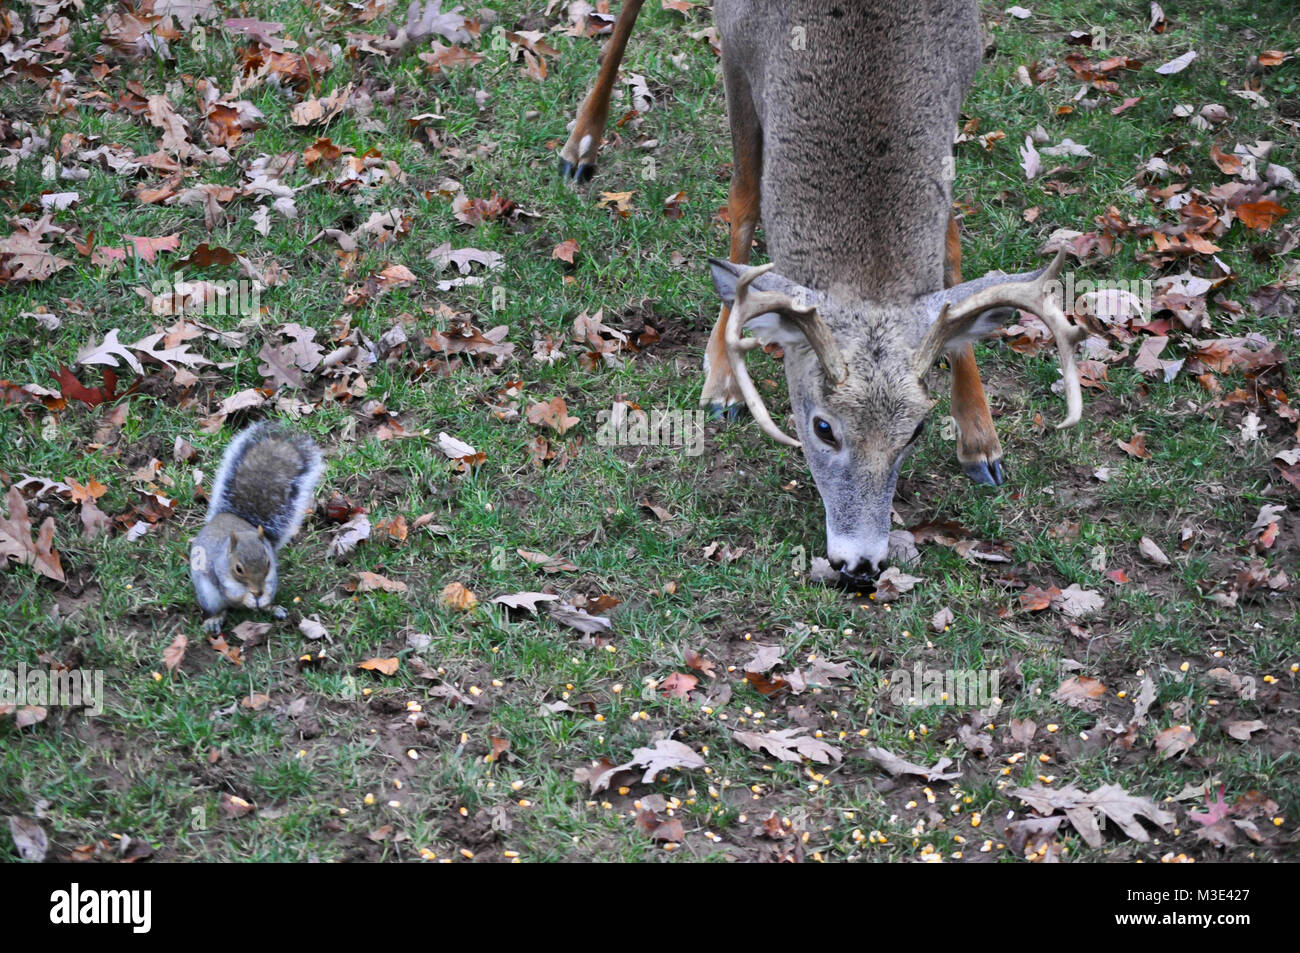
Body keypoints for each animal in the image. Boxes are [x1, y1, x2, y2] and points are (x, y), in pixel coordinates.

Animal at [189, 421, 323, 633]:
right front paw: (247, 599)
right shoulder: (220, 576)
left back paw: (273, 608)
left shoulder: (270, 578)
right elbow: (233, 596)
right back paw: (215, 619)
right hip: (208, 594)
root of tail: (224, 515)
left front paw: (265, 600)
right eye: (238, 569)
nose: (258, 592)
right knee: (220, 608)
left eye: (268, 562)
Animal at [559, 0, 1086, 589]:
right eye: (823, 427)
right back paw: (579, 146)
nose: (861, 565)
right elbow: (743, 199)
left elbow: (951, 252)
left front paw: (979, 439)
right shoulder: (737, 47)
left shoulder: (963, 69)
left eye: (917, 429)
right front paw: (722, 376)